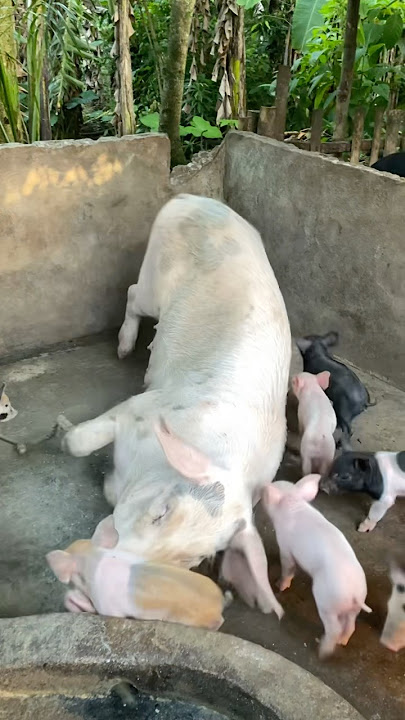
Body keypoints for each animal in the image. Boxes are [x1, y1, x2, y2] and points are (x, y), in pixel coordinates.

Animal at [61, 194, 291, 617]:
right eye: (161, 511)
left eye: (191, 560)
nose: (99, 586)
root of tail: (195, 199)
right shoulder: (143, 406)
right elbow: (85, 440)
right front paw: (68, 438)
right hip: (154, 278)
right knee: (134, 293)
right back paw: (123, 350)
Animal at [262, 475, 371, 657]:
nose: (262, 490)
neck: (293, 502)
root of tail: (354, 594)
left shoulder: (285, 547)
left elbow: (288, 568)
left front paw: (279, 585)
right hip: (354, 609)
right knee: (351, 626)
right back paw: (342, 642)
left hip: (326, 602)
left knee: (334, 629)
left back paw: (322, 650)